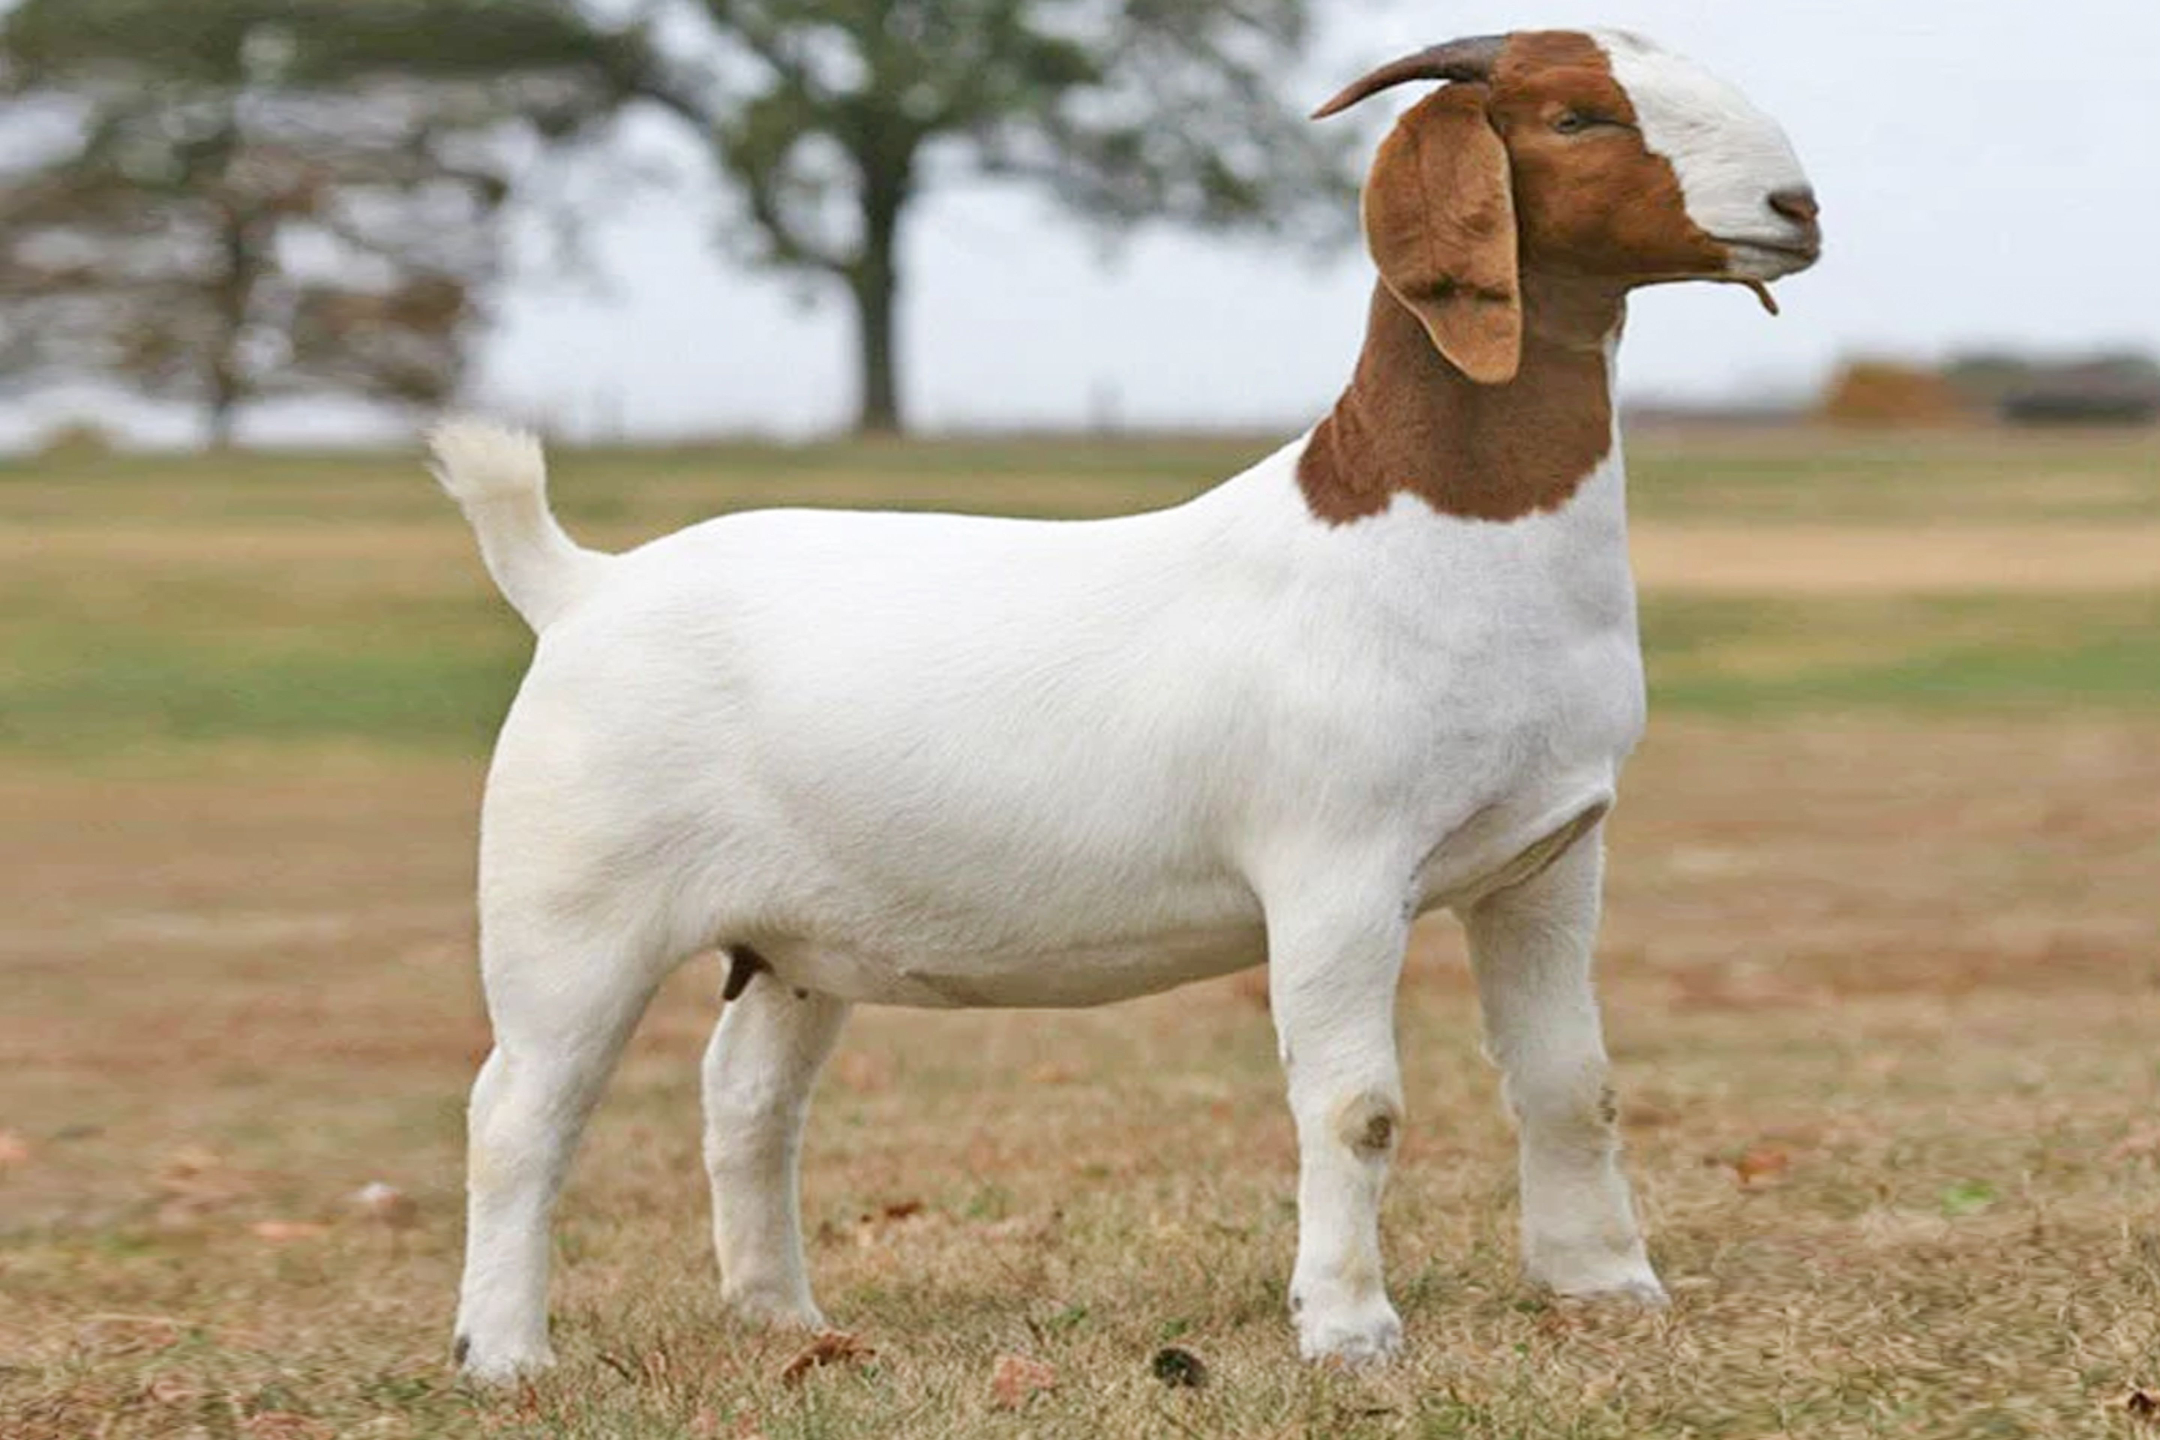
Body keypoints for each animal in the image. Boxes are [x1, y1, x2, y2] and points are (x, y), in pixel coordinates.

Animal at [431, 28, 1819, 1377]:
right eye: (1578, 116)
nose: (1796, 206)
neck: (1437, 531)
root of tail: (584, 585)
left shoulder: (1549, 857)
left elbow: (1573, 1080)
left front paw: (1608, 1287)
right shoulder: (1336, 870)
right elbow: (1355, 1105)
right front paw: (1348, 1331)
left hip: (790, 943)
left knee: (747, 1101)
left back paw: (781, 1322)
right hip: (575, 906)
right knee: (520, 1111)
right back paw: (506, 1354)